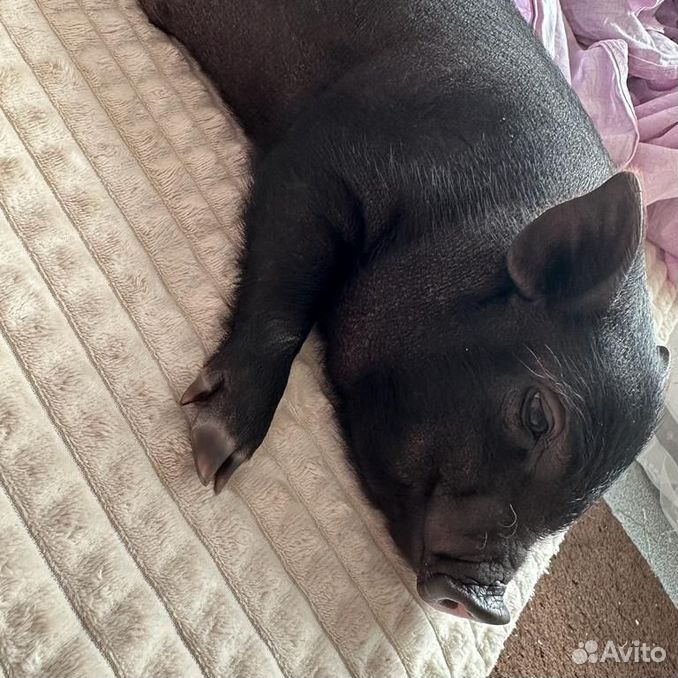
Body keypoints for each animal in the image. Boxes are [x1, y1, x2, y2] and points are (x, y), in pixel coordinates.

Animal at [139, 0, 670, 624]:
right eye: (538, 416)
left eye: (593, 497)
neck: (462, 221)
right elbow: (288, 293)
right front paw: (213, 457)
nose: (488, 605)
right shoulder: (320, 160)